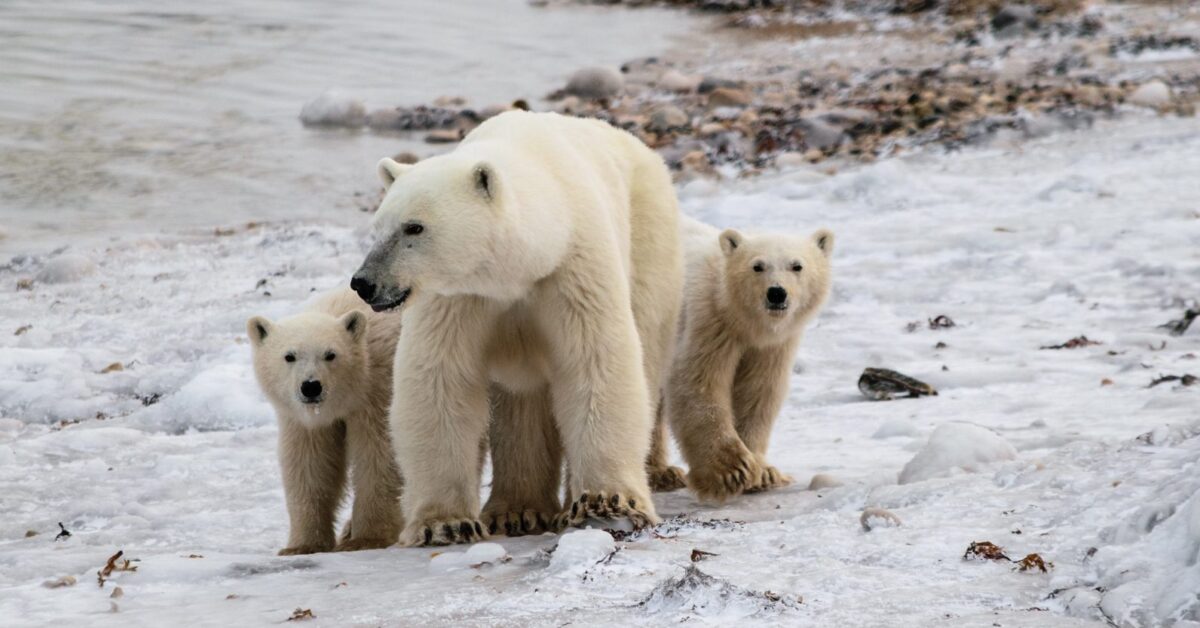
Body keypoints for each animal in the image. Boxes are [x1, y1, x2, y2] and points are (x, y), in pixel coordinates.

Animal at [248, 287, 404, 554]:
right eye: (289, 356)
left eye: (331, 354)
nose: (311, 386)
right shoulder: (304, 419)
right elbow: (311, 462)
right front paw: (302, 545)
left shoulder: (380, 389)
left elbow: (379, 453)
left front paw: (366, 538)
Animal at [349, 110, 683, 545]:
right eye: (378, 226)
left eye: (414, 227)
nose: (364, 282)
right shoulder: (460, 298)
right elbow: (440, 379)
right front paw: (445, 523)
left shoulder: (573, 270)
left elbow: (597, 362)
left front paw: (607, 503)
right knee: (521, 403)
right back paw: (517, 512)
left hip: (648, 242)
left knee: (646, 345)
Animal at [665, 215, 833, 502]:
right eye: (757, 266)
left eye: (797, 266)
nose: (776, 293)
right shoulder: (708, 324)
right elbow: (697, 384)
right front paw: (731, 472)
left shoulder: (771, 347)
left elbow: (758, 392)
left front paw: (764, 473)